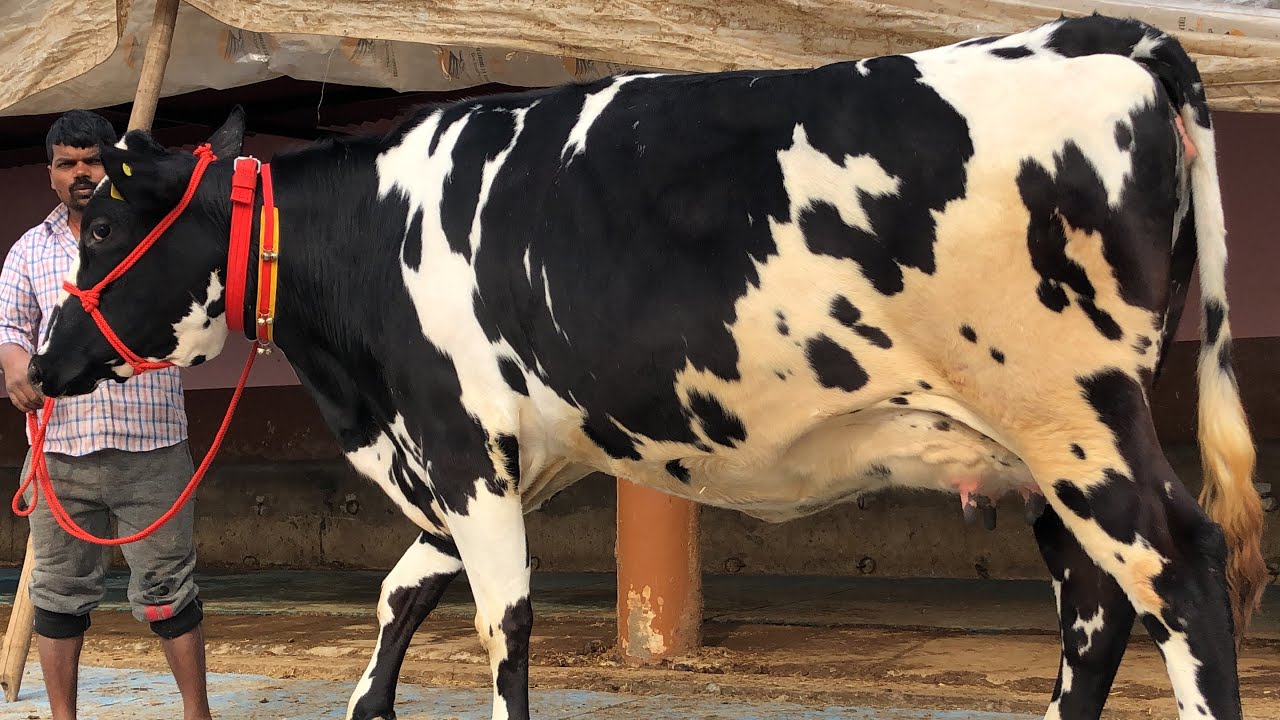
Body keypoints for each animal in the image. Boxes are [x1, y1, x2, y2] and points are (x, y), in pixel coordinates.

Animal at [26, 13, 1266, 720]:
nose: (40, 366)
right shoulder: (492, 464)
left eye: (98, 226)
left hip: (1076, 419)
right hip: (1037, 449)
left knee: (1176, 573)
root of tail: (1096, 31)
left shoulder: (456, 445)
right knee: (1096, 609)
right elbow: (401, 595)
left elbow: (502, 625)